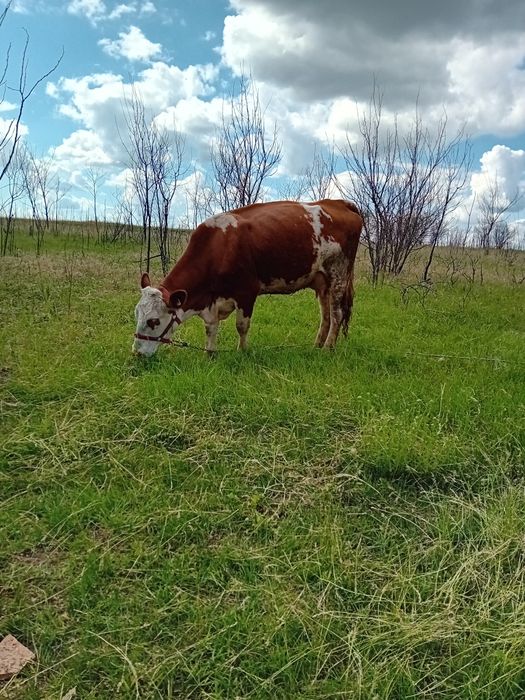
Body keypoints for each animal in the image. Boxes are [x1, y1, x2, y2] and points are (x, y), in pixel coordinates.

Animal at [133, 199, 362, 356]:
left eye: (153, 321)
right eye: (137, 315)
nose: (137, 353)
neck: (218, 247)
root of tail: (338, 202)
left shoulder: (246, 292)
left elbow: (241, 326)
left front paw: (242, 352)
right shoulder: (213, 301)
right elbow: (210, 328)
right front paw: (210, 354)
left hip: (339, 275)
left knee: (337, 314)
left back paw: (327, 348)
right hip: (322, 282)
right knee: (325, 315)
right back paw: (317, 345)